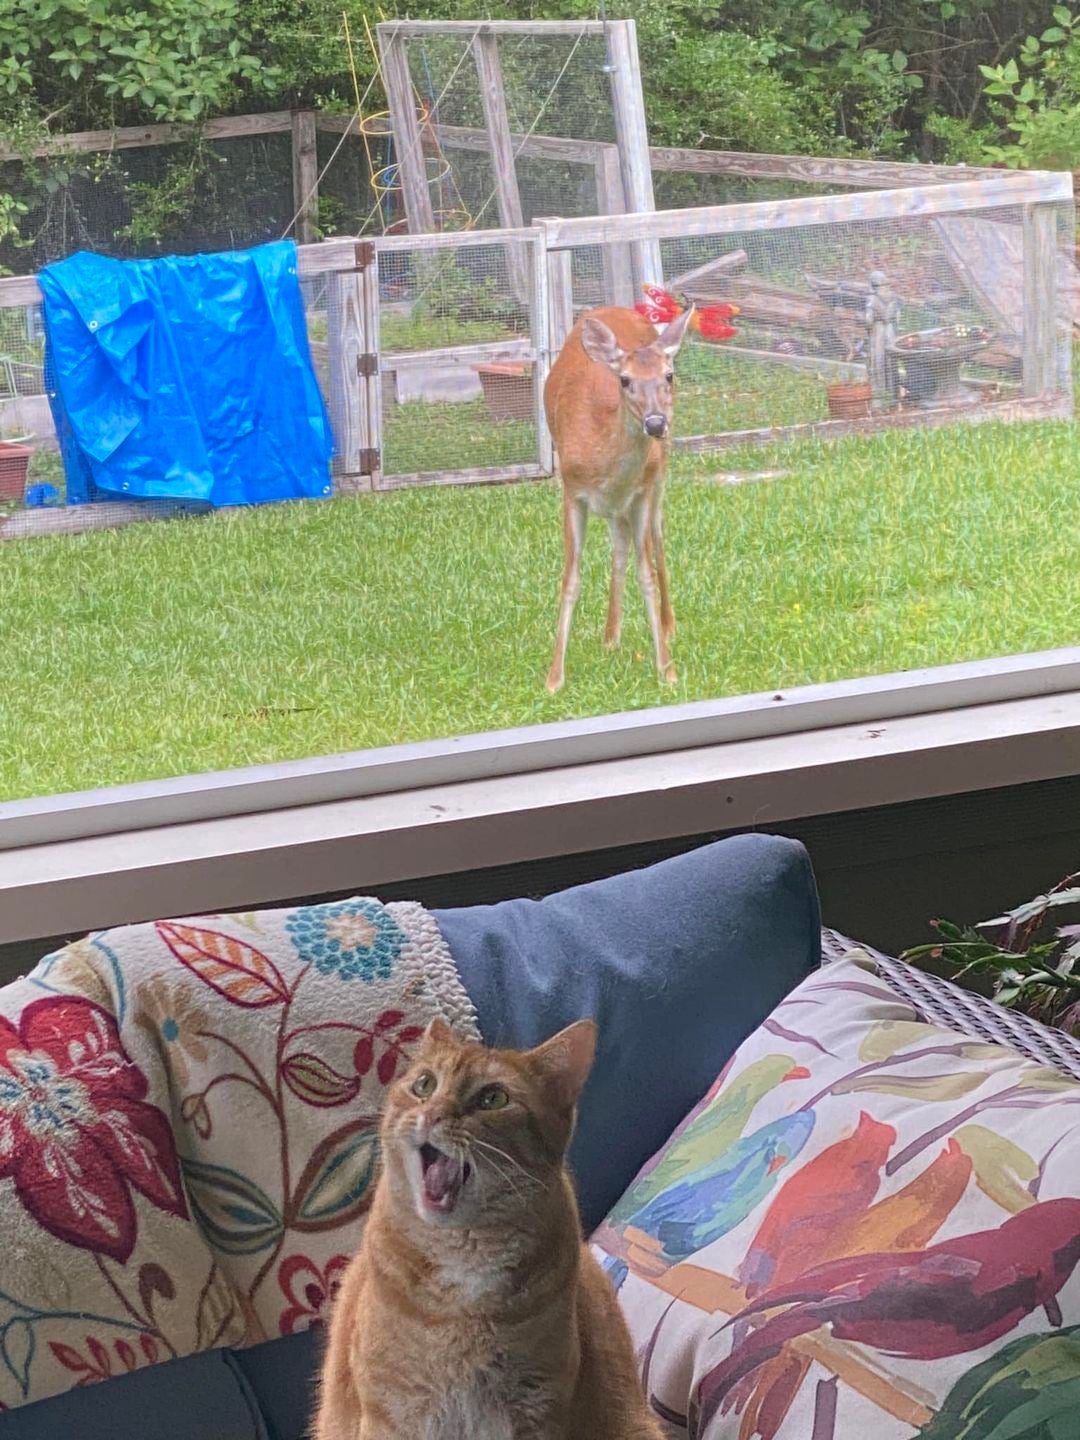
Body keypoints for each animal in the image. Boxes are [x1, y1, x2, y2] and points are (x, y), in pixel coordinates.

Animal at [543, 303, 694, 694]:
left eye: (668, 375)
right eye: (625, 380)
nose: (655, 424)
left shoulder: (640, 491)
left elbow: (646, 574)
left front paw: (667, 670)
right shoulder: (571, 490)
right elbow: (570, 579)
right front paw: (554, 678)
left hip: (659, 475)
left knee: (657, 537)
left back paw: (668, 626)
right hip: (616, 506)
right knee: (619, 544)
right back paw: (610, 636)